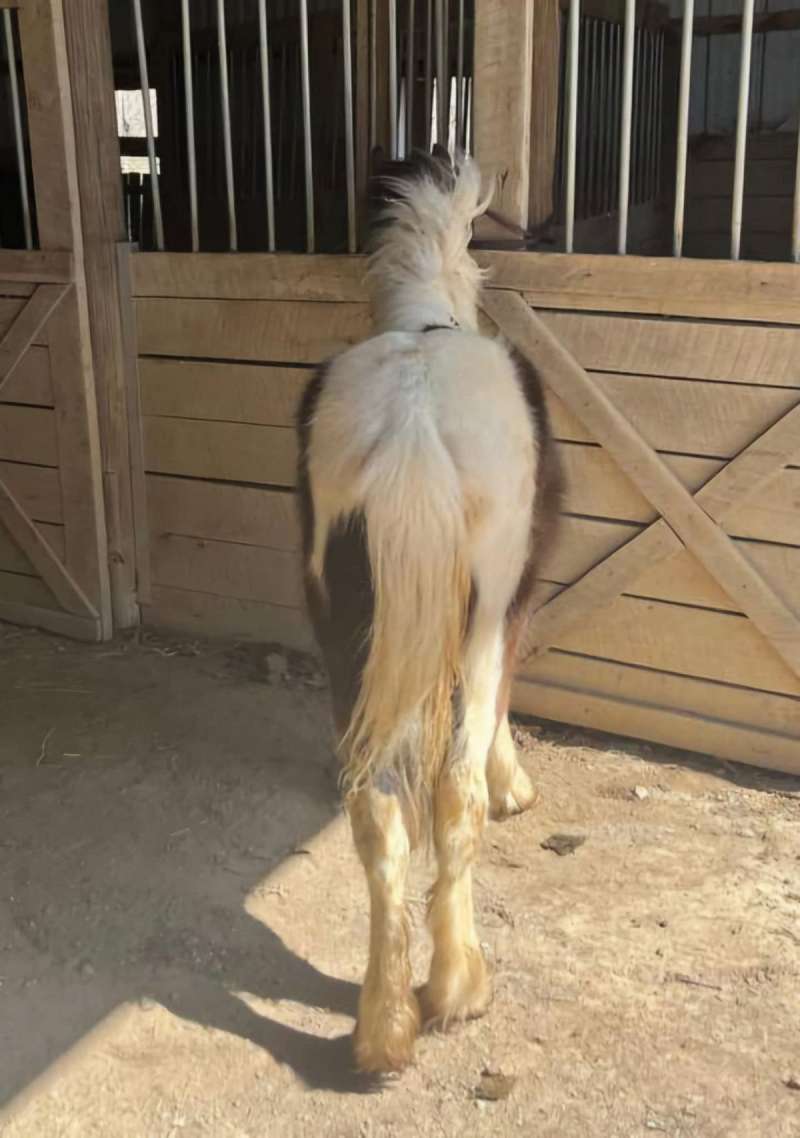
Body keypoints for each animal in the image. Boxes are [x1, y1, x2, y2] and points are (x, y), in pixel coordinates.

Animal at [296, 146, 562, 1074]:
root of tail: (412, 418)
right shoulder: (513, 604)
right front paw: (517, 784)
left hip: (344, 629)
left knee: (376, 815)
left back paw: (383, 1030)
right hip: (479, 619)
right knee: (452, 796)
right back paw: (457, 990)